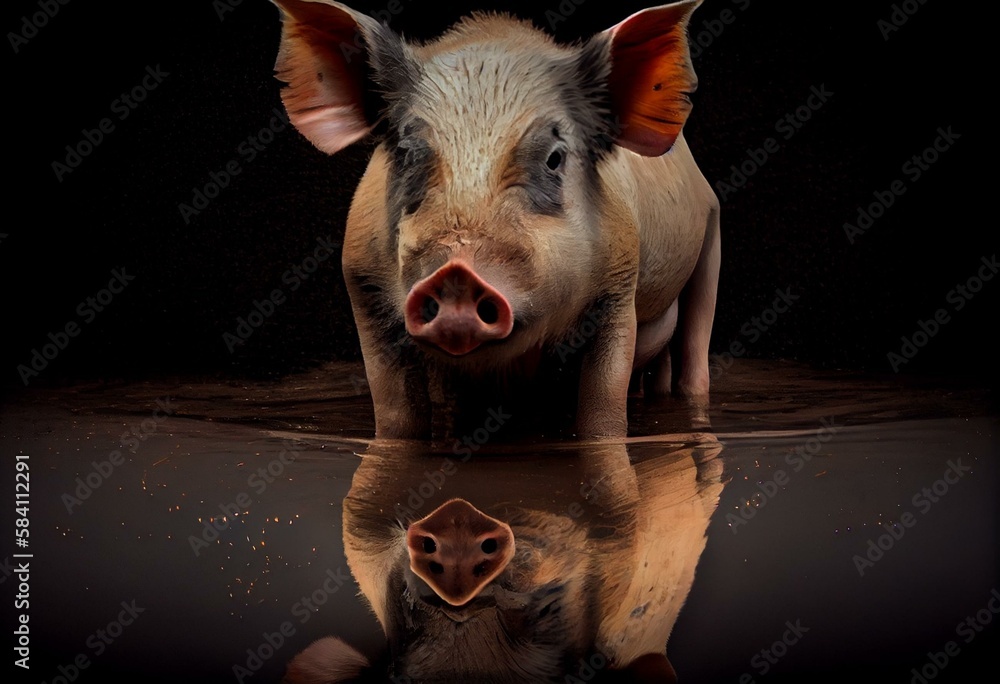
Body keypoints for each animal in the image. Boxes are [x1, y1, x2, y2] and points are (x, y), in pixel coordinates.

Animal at [273, 0, 720, 438]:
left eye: (554, 158)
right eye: (408, 154)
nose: (457, 272)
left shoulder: (621, 280)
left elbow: (603, 411)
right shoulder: (359, 279)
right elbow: (396, 416)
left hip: (712, 234)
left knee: (692, 356)